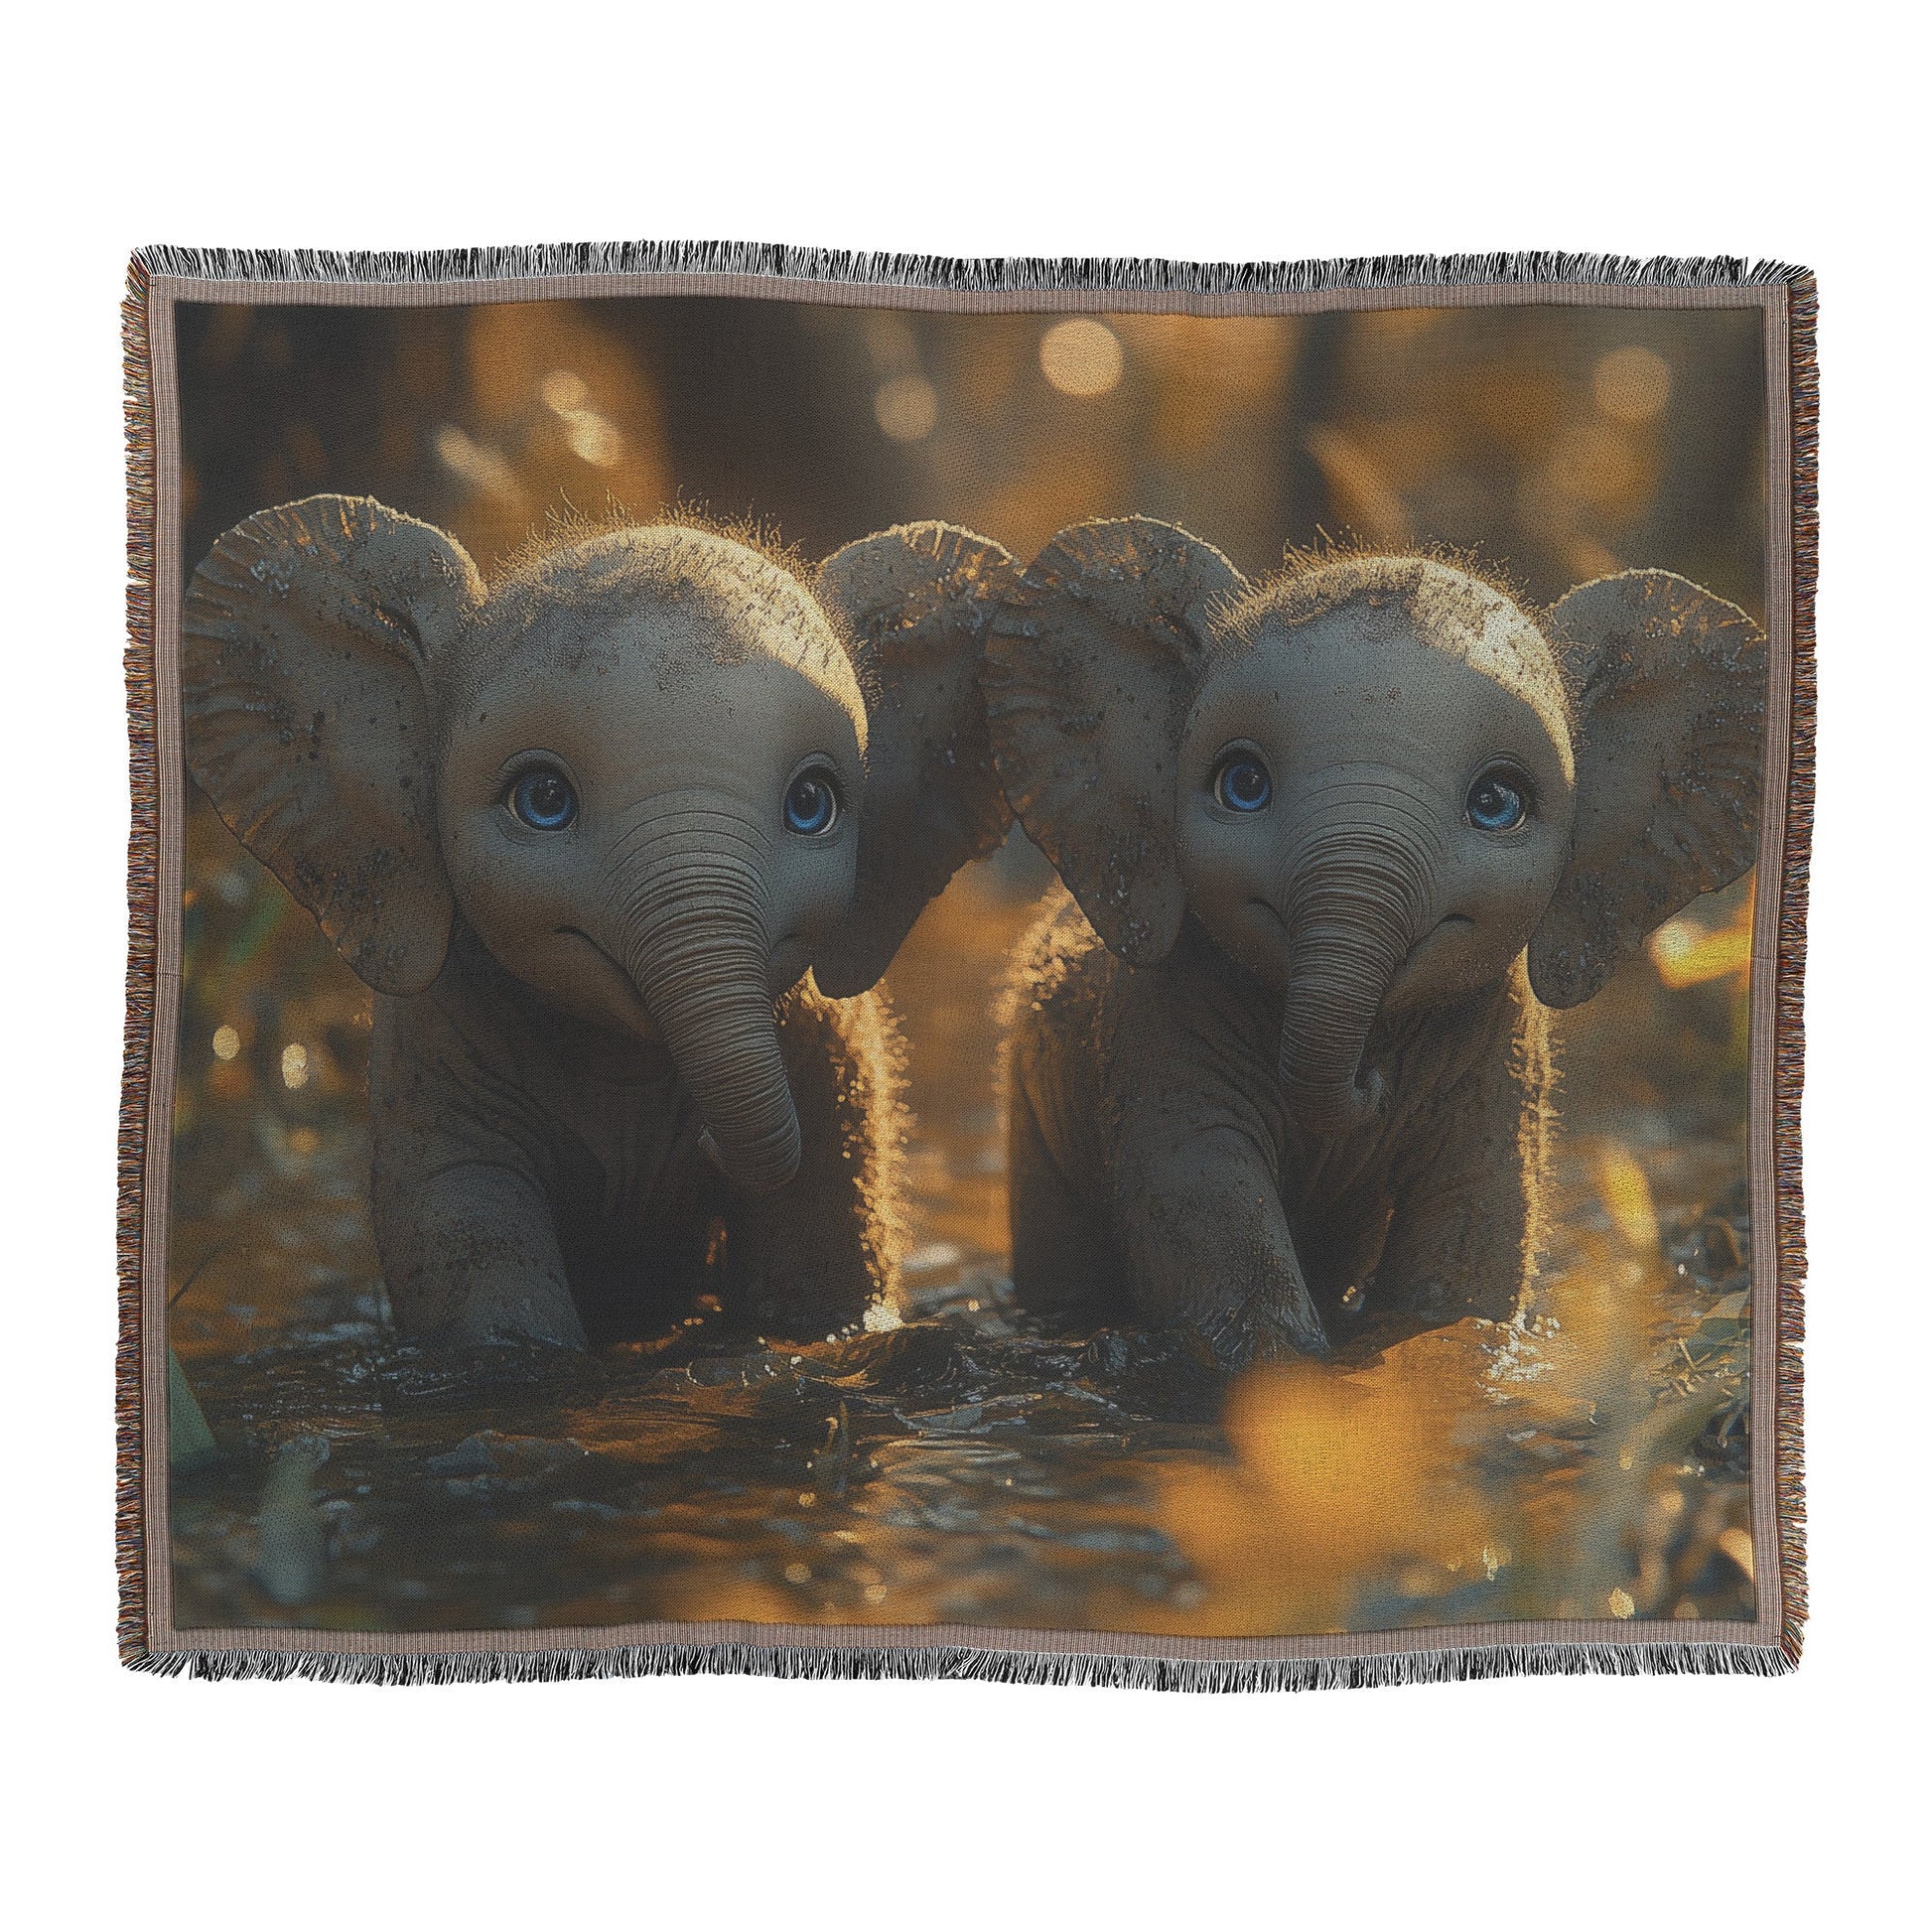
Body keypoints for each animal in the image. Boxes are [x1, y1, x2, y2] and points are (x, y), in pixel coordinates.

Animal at [982, 517, 1766, 1367]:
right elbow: (1202, 1200)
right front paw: (1285, 1366)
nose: (1374, 1078)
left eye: (1498, 802)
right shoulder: (1159, 1027)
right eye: (1242, 784)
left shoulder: (1501, 1051)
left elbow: (1471, 1224)